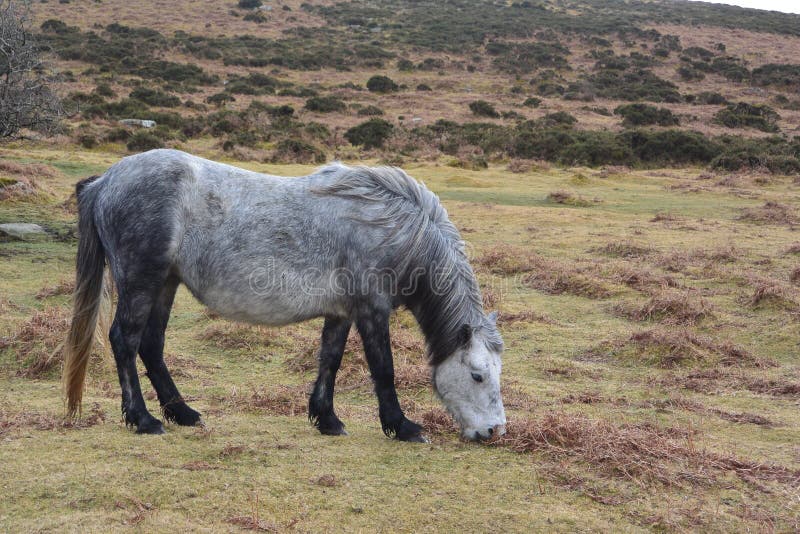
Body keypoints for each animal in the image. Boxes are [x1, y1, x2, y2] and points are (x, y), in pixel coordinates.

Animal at [63, 149, 506, 442]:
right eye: (477, 375)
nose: (494, 430)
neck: (392, 229)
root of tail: (105, 181)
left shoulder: (342, 312)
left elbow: (330, 360)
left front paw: (327, 419)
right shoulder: (372, 310)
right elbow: (384, 369)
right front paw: (401, 426)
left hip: (165, 284)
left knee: (151, 345)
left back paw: (183, 413)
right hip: (141, 281)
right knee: (125, 341)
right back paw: (143, 419)